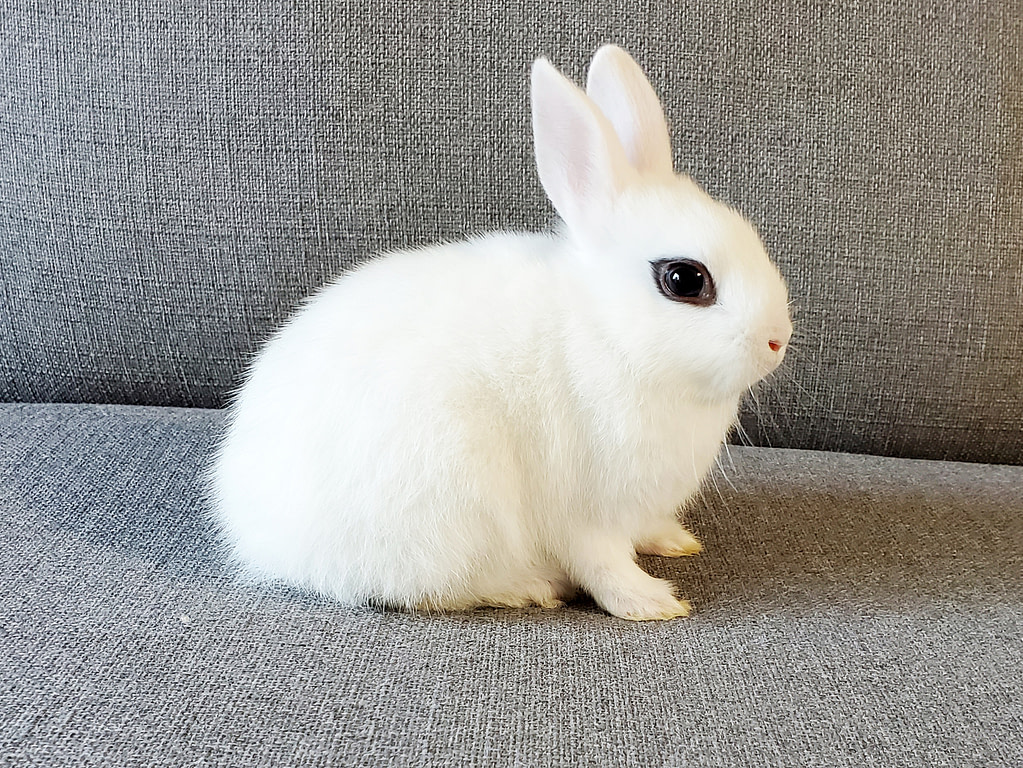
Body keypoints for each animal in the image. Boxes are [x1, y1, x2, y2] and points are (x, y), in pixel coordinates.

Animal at [211, 45, 792, 621]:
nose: (778, 341)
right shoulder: (585, 513)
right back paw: (531, 586)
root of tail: (256, 534)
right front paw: (652, 602)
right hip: (452, 501)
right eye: (684, 279)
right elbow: (603, 566)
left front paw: (675, 541)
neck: (606, 330)